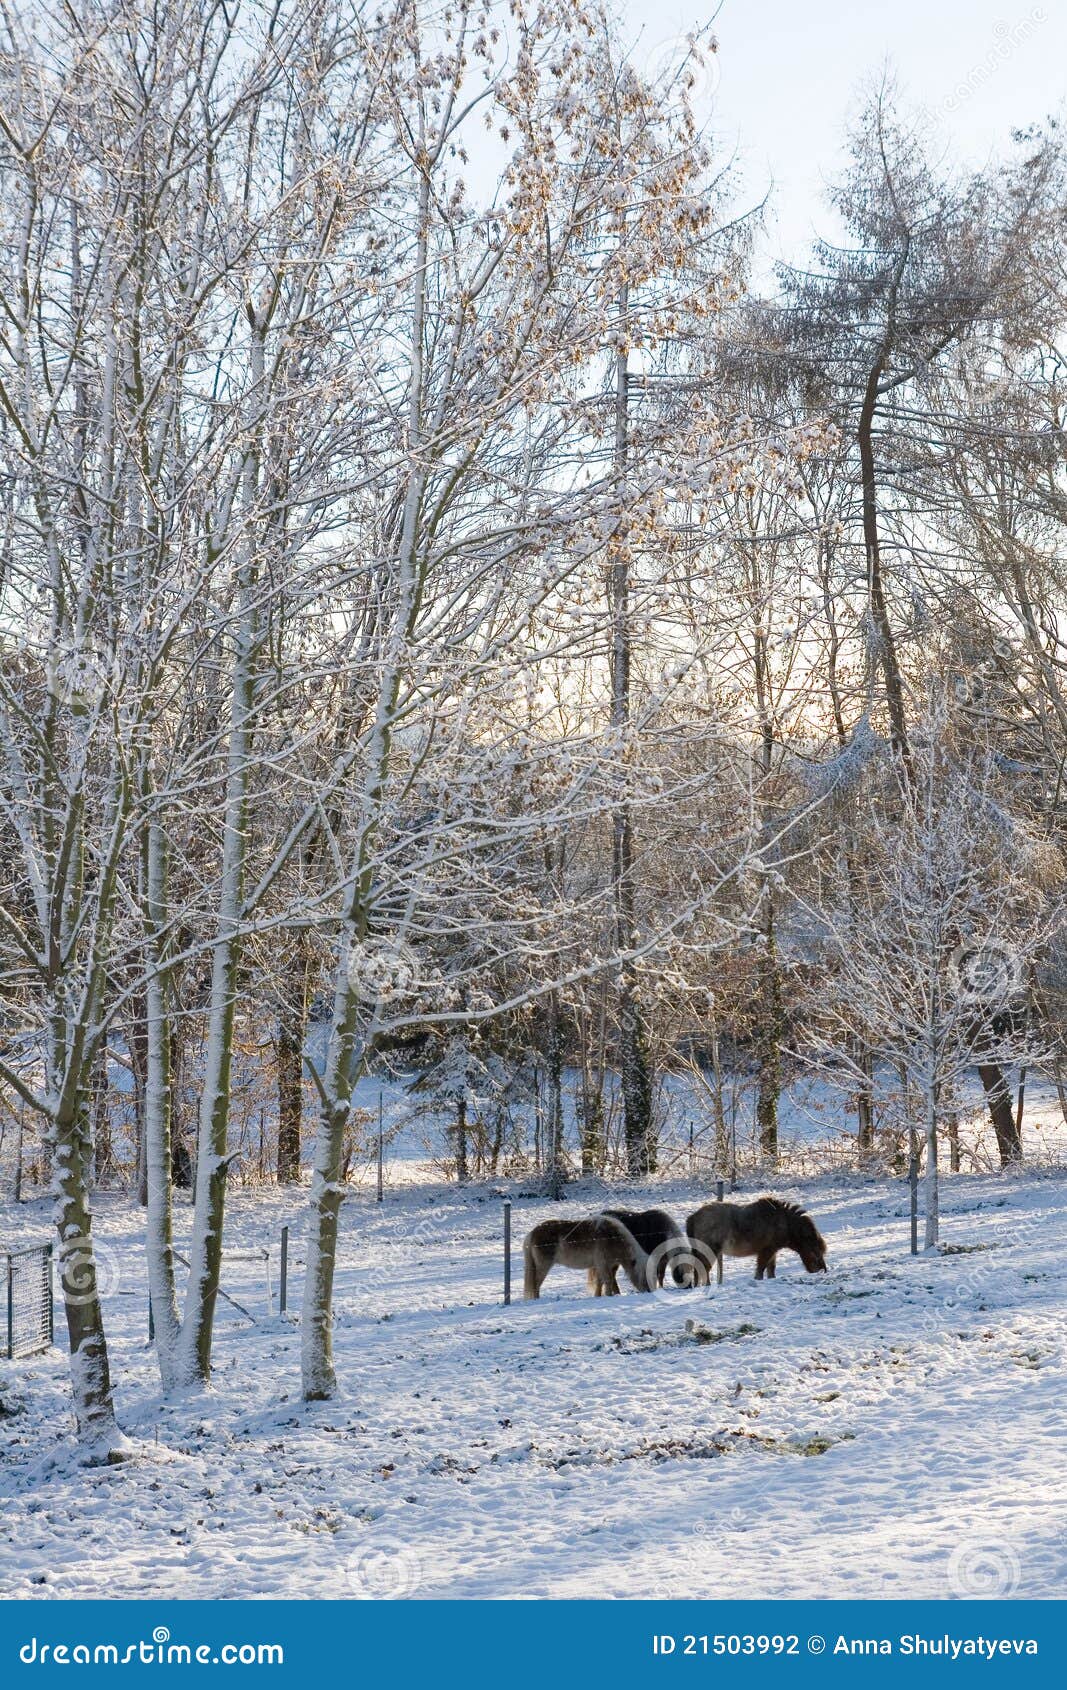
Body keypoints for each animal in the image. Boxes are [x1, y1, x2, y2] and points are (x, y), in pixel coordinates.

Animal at [522, 1215, 651, 1299]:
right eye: (644, 1274)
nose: (649, 1291)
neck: (613, 1237)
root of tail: (533, 1233)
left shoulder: (603, 1265)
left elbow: (600, 1282)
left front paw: (598, 1296)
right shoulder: (603, 1264)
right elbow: (608, 1280)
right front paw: (609, 1296)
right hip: (543, 1266)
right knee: (536, 1283)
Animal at [686, 1196, 828, 1281]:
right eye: (814, 1250)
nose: (822, 1270)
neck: (788, 1227)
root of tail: (692, 1218)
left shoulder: (773, 1250)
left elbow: (771, 1269)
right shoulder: (767, 1249)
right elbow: (760, 1269)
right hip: (710, 1249)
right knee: (703, 1268)